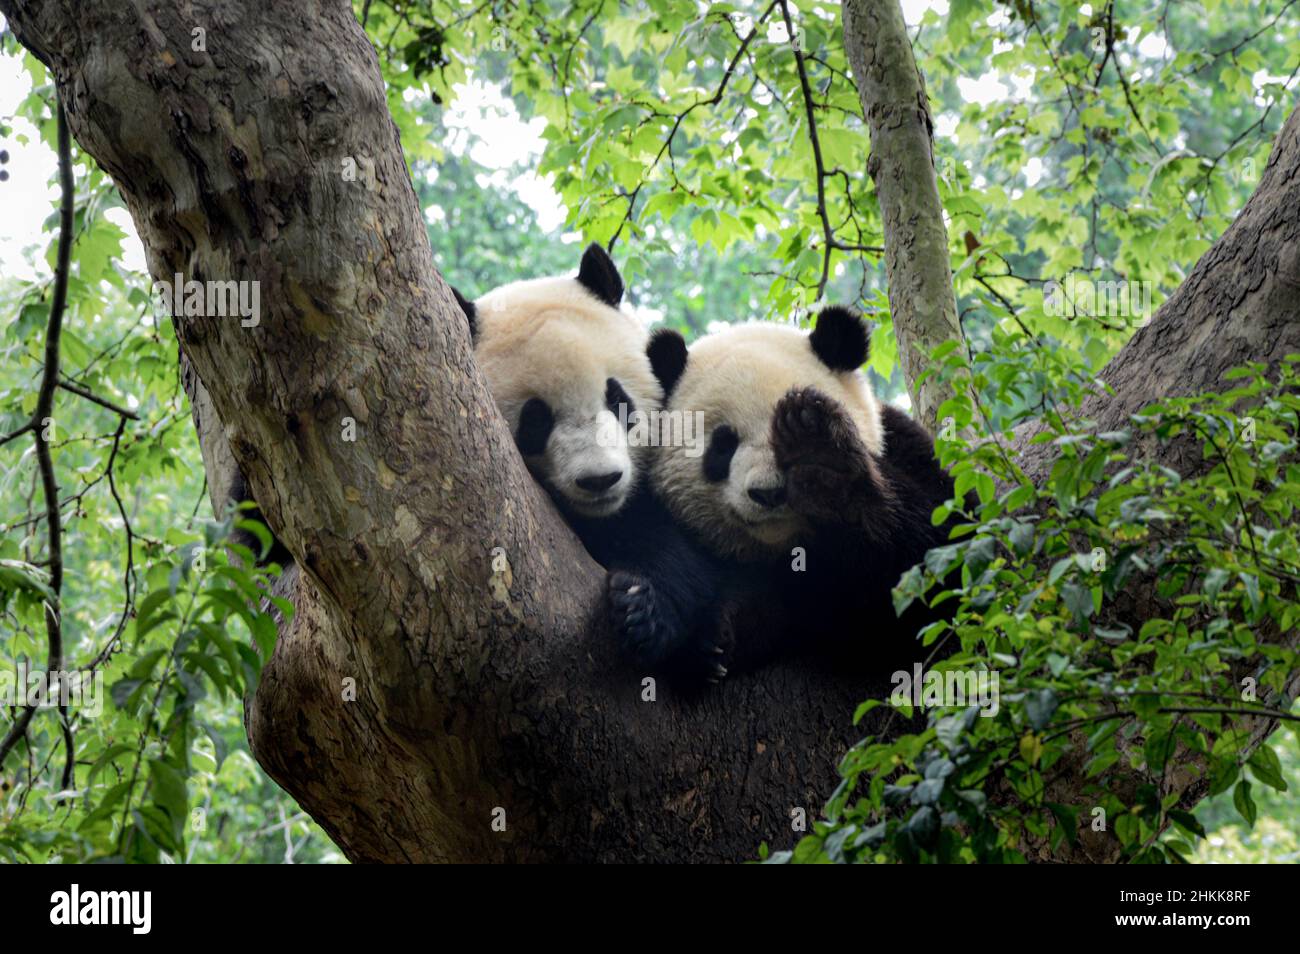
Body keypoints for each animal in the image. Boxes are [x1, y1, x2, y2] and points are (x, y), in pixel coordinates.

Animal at [645, 305, 962, 670]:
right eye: (723, 445)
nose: (768, 493)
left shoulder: (905, 447)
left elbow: (939, 555)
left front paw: (820, 455)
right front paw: (709, 637)